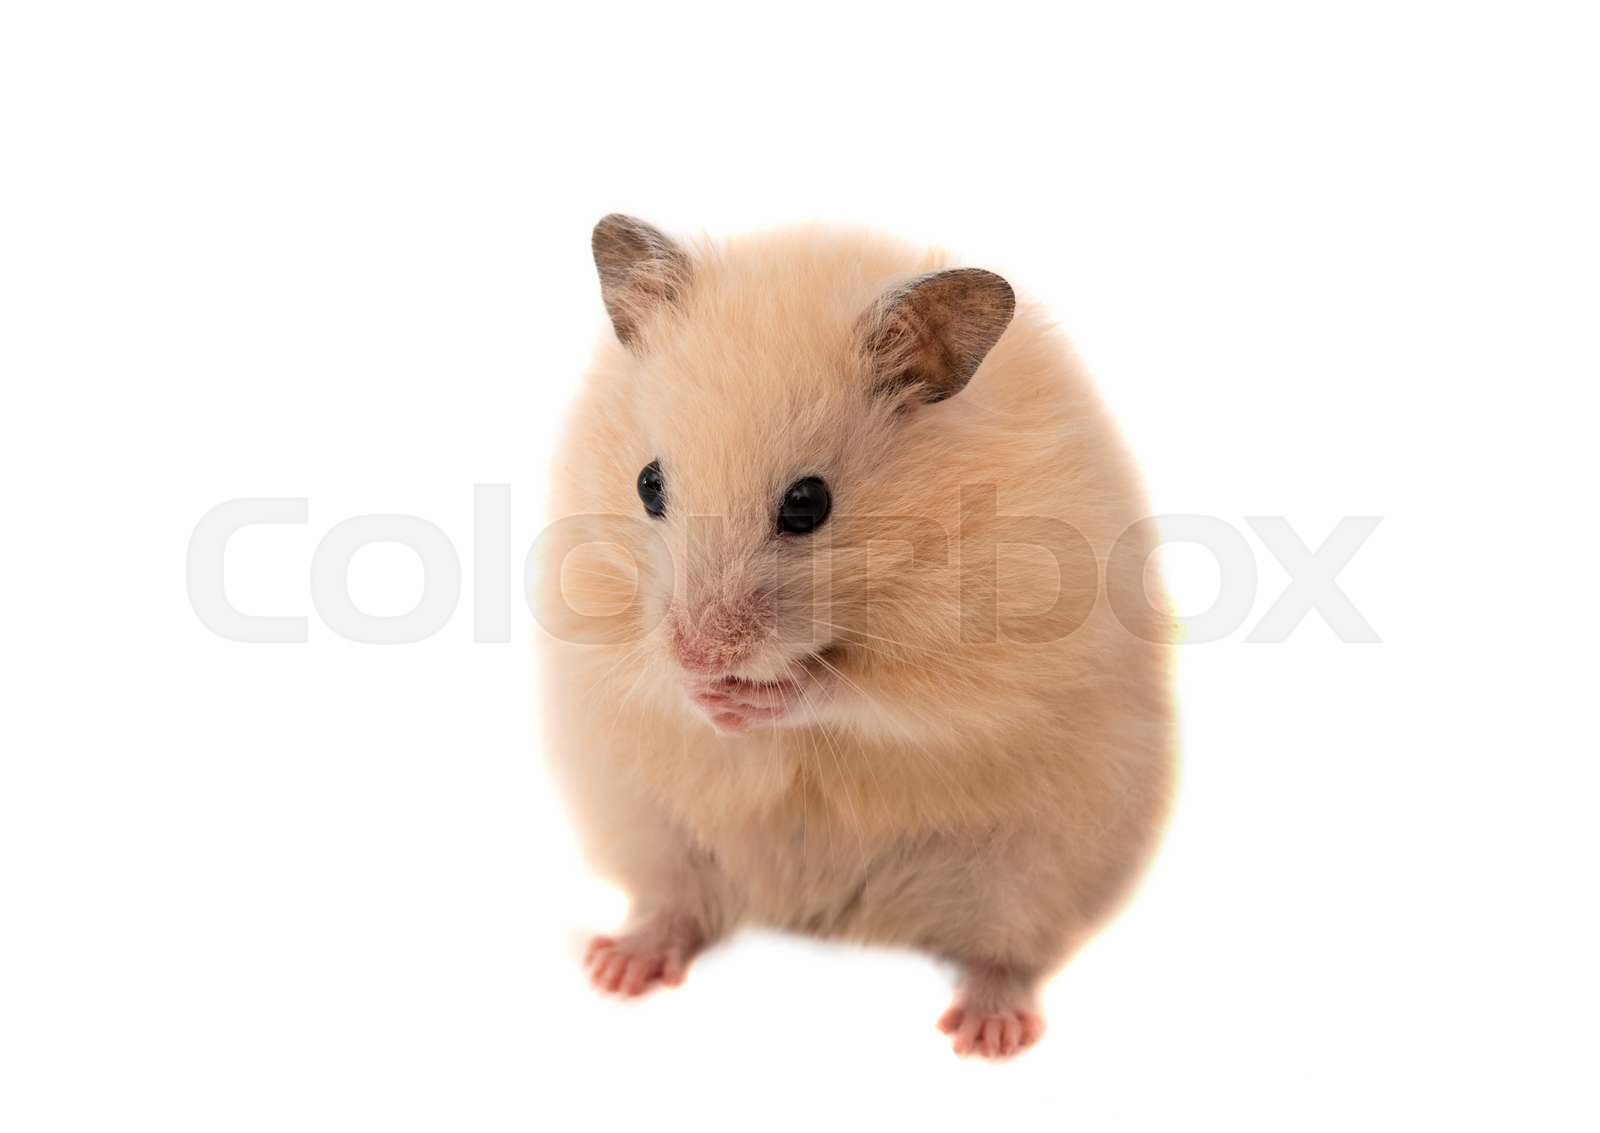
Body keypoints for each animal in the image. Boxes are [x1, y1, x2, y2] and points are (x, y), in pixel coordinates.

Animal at [535, 215, 1174, 1059]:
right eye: (647, 484)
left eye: (808, 503)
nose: (700, 652)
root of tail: (827, 916)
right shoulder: (594, 610)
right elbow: (638, 666)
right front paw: (703, 696)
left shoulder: (984, 655)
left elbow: (856, 694)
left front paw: (752, 698)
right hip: (647, 824)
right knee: (679, 903)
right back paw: (618, 966)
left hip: (1040, 864)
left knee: (1007, 950)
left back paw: (987, 1030)